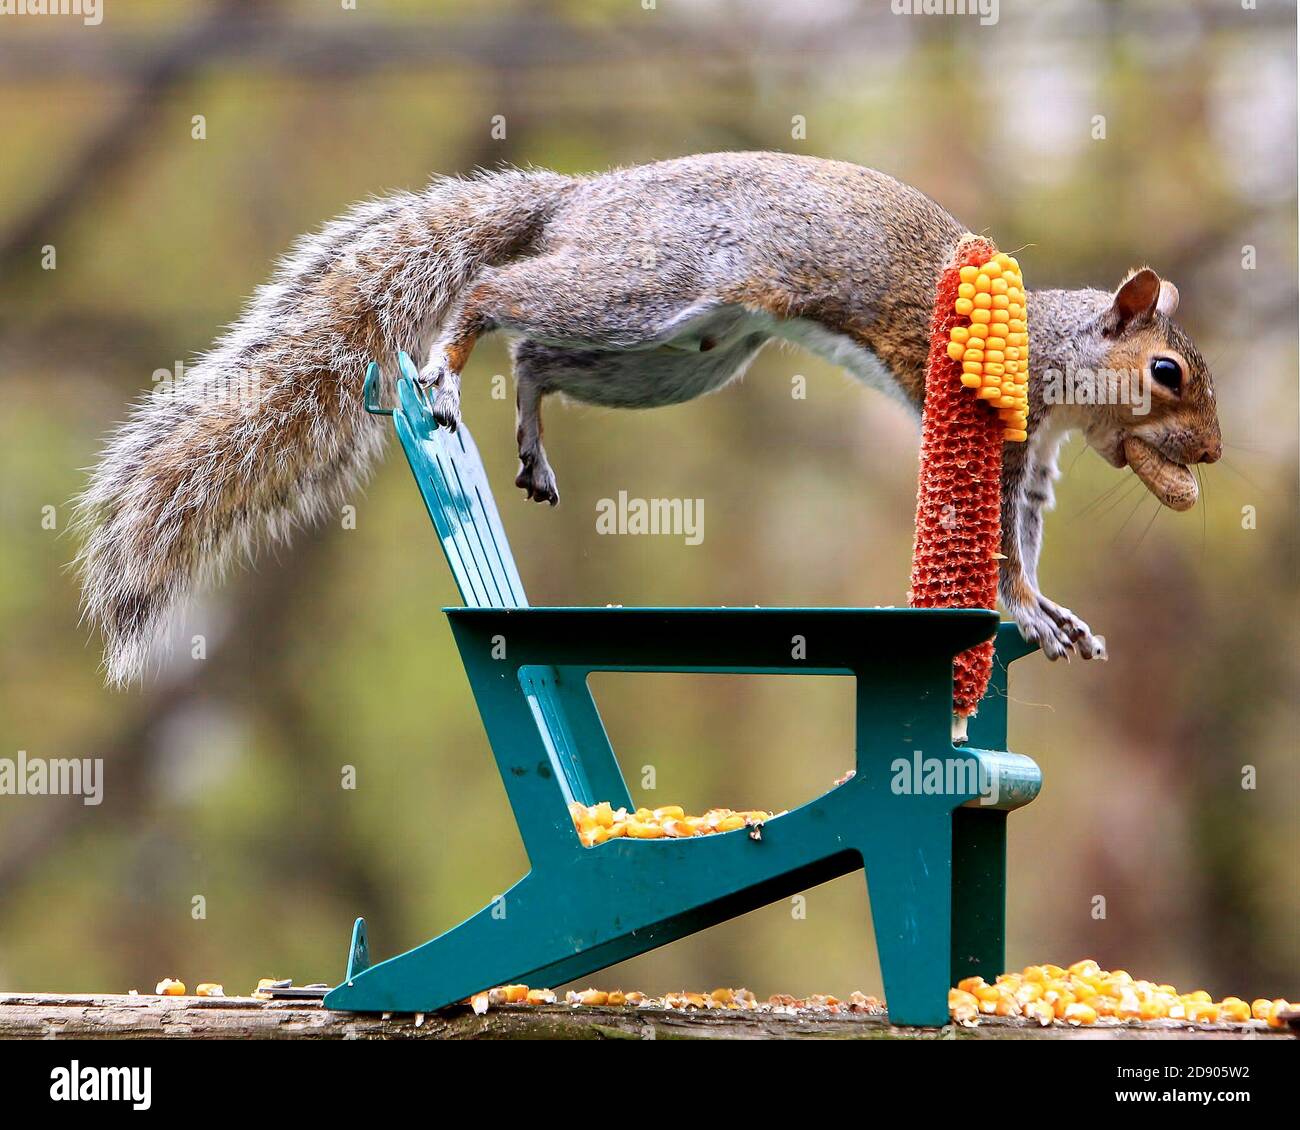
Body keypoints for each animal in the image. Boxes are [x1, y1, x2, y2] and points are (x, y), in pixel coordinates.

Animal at [76, 151, 1222, 686]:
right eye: (1167, 371)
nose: (1212, 454)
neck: (1058, 354)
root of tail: (578, 199)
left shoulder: (1038, 464)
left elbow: (1025, 540)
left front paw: (1051, 607)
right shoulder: (1005, 435)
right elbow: (995, 551)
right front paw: (1024, 612)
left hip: (674, 359)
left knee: (539, 358)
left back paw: (530, 440)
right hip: (645, 290)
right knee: (498, 293)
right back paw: (450, 356)